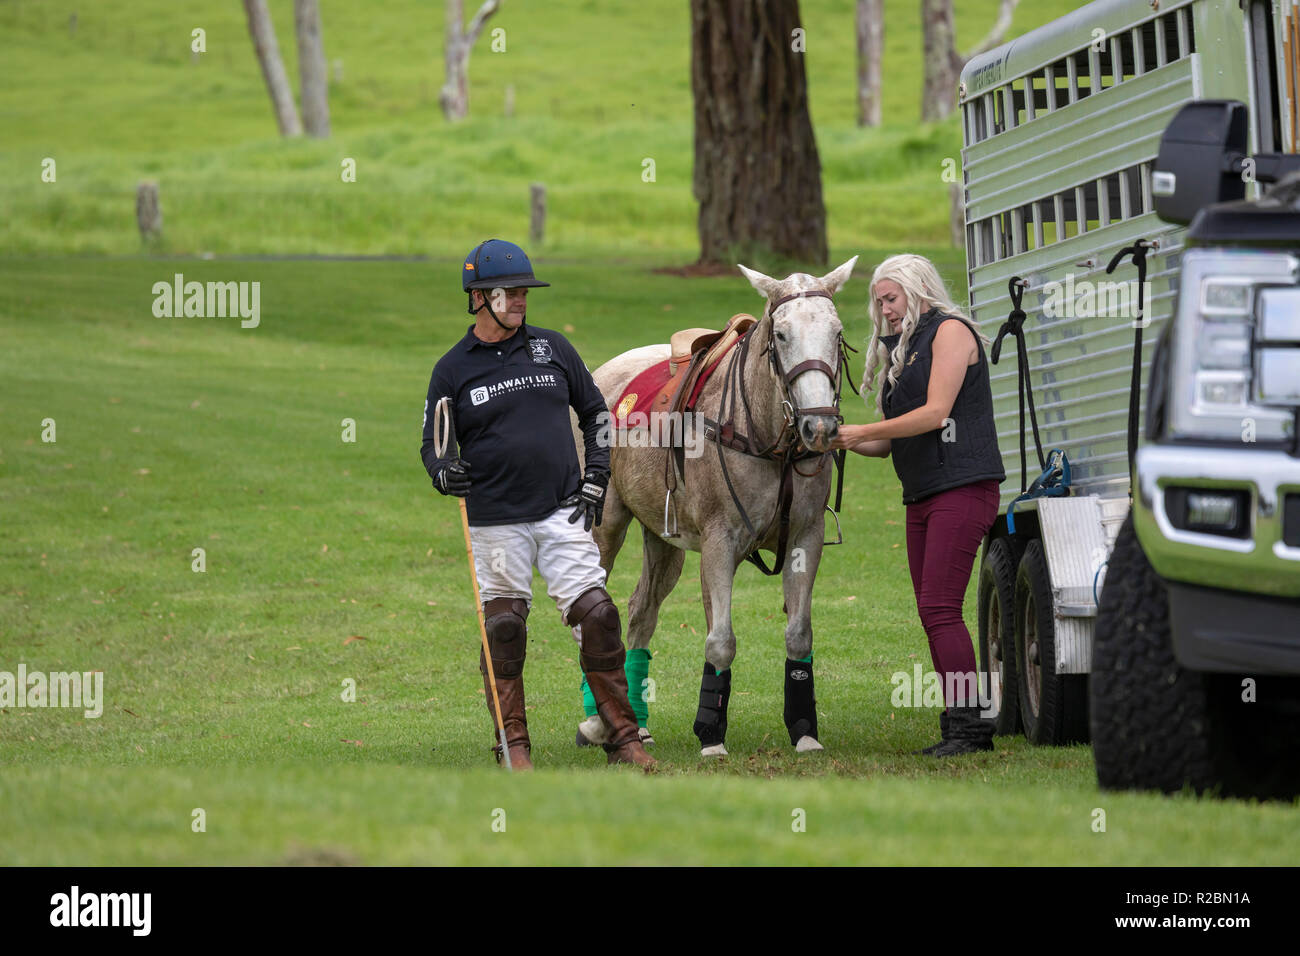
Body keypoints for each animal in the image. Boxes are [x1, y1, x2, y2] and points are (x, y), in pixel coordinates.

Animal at [572, 258, 858, 756]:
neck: (765, 435)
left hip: (661, 535)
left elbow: (799, 633)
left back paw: (637, 723)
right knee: (596, 608)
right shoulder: (719, 541)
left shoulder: (806, 536)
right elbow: (720, 639)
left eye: (837, 332)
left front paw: (804, 730)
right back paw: (597, 724)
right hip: (606, 523)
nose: (820, 426)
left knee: (641, 609)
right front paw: (711, 734)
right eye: (781, 335)